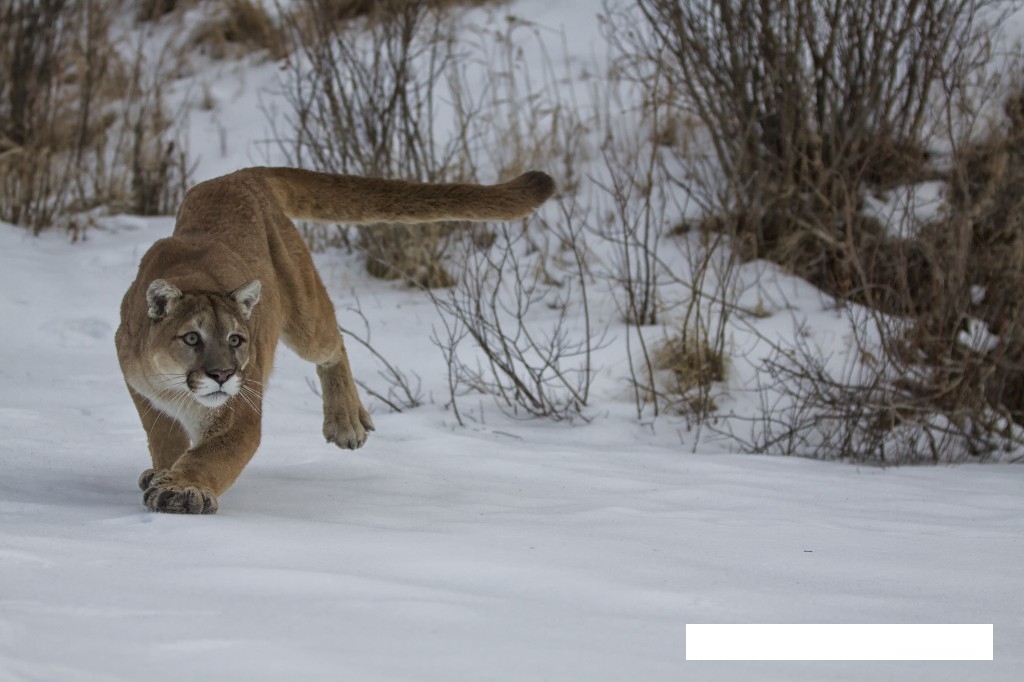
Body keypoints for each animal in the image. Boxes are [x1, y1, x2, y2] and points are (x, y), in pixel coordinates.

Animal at [115, 167, 555, 513]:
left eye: (236, 339)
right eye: (192, 337)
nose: (222, 374)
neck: (178, 390)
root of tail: (236, 175)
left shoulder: (239, 412)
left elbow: (211, 456)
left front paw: (182, 488)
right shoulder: (138, 385)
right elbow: (164, 434)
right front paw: (164, 471)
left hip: (303, 312)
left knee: (334, 341)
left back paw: (345, 422)